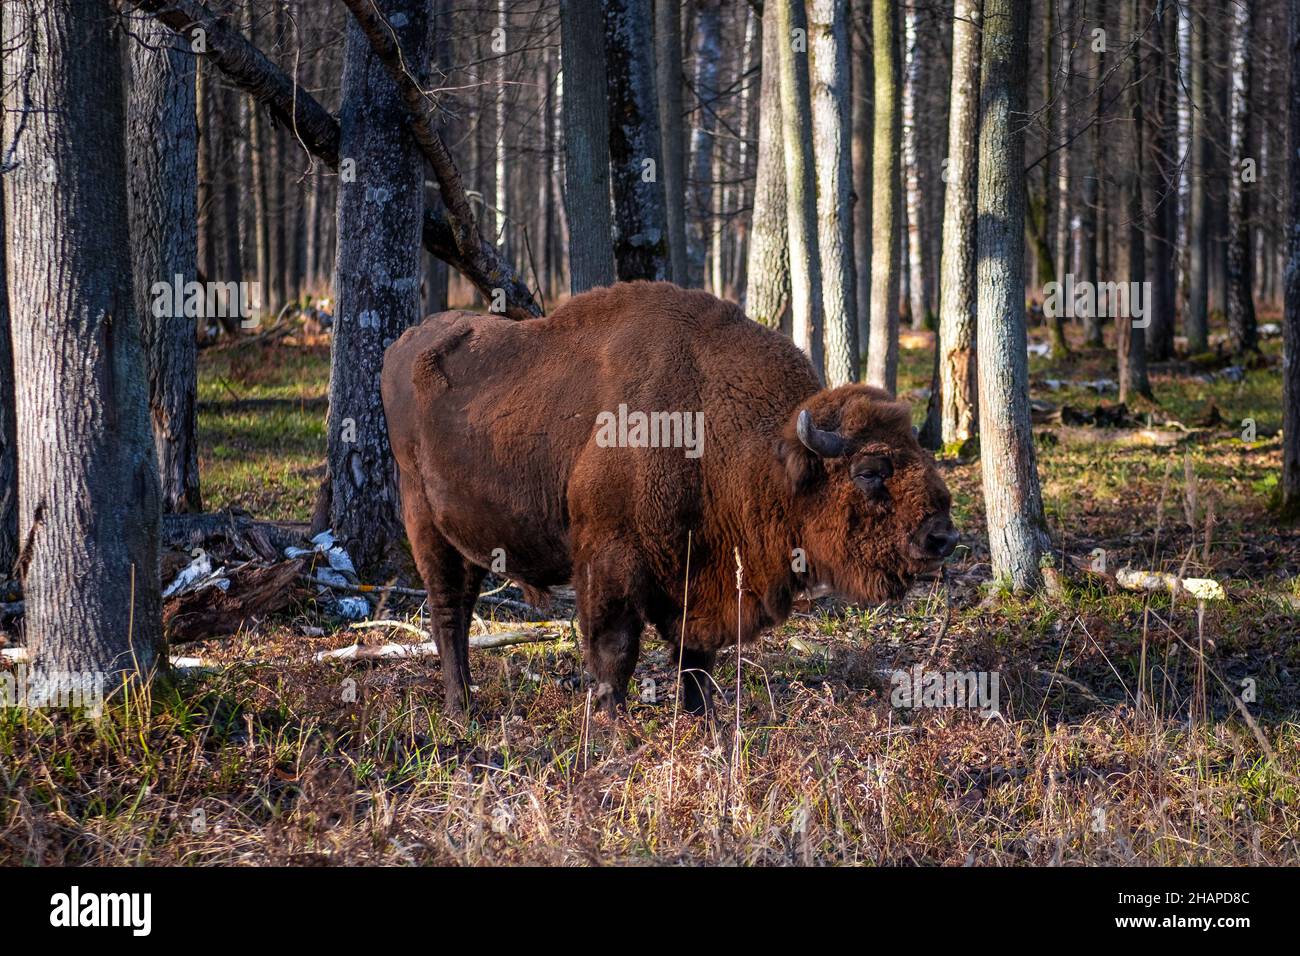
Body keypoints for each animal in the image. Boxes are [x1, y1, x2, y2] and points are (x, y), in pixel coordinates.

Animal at [381, 282, 958, 716]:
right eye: (869, 471)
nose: (943, 536)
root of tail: (400, 345)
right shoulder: (609, 562)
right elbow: (614, 653)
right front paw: (614, 727)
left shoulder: (700, 573)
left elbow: (695, 661)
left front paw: (704, 724)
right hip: (424, 525)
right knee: (448, 613)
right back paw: (462, 711)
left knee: (459, 608)